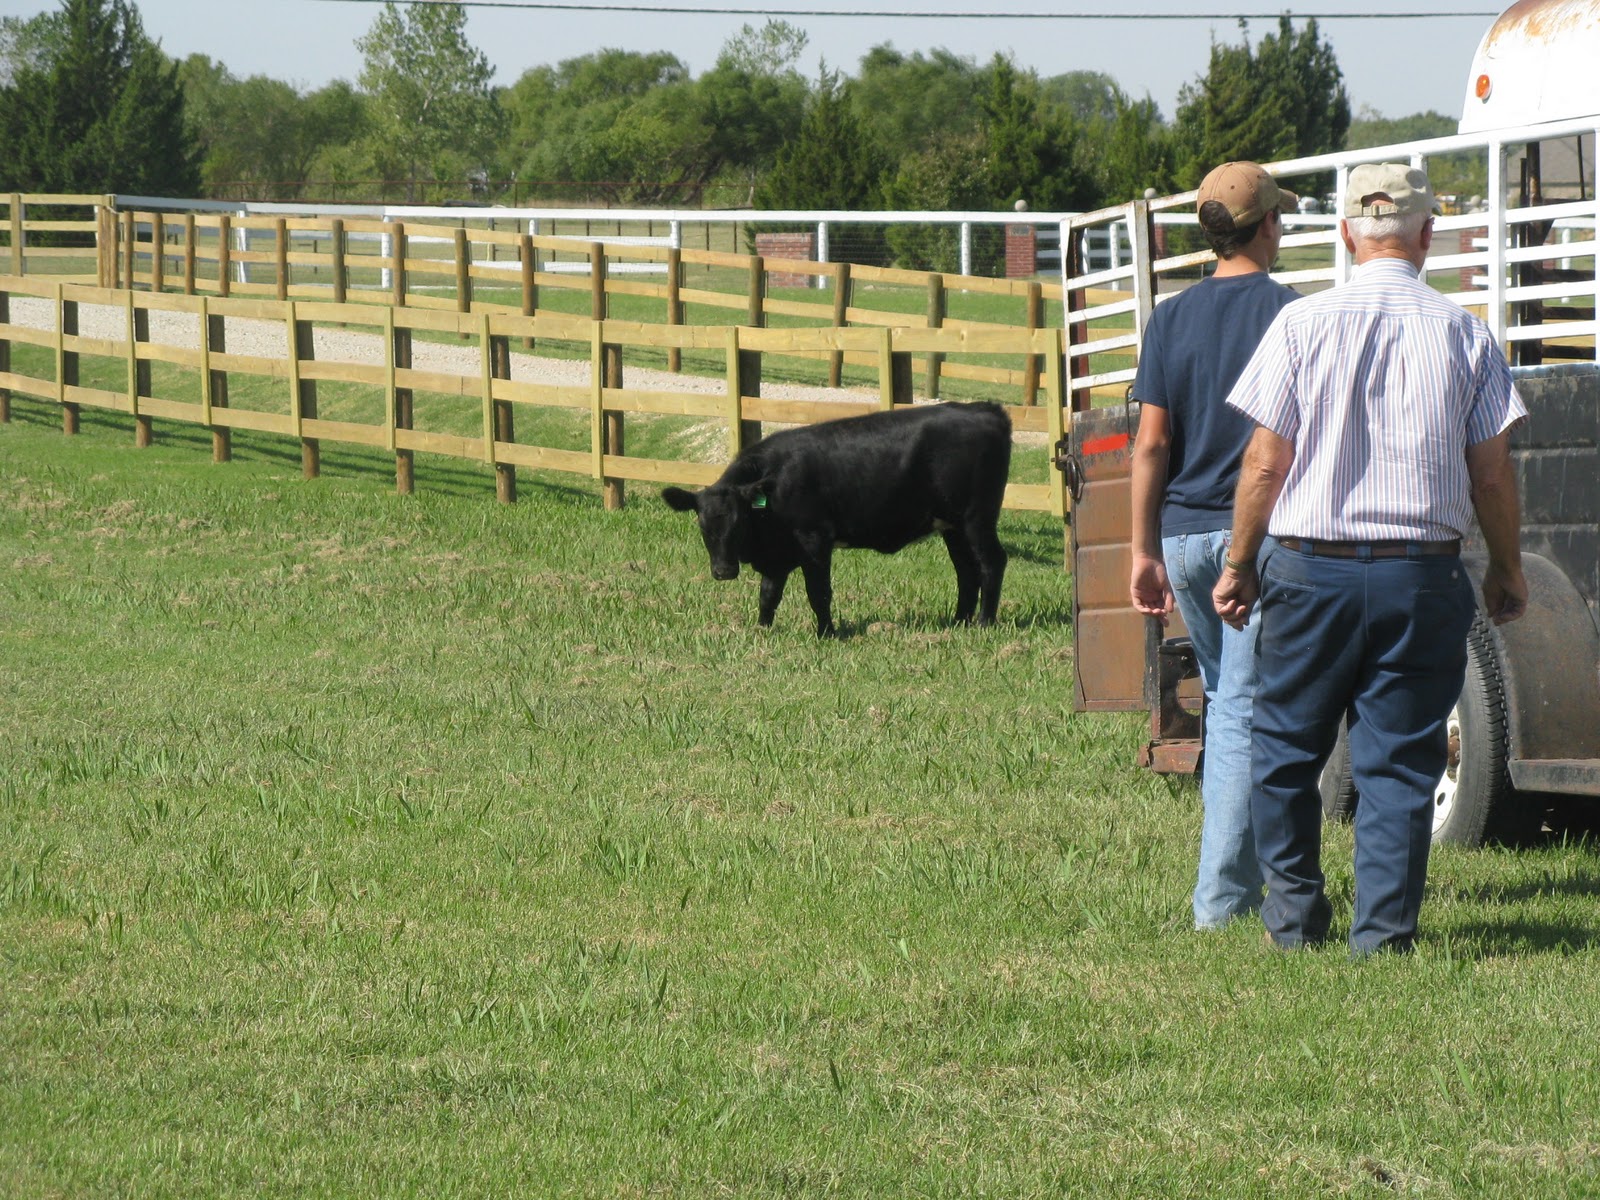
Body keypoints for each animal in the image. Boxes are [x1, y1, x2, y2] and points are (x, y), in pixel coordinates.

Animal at [662, 401, 1011, 637]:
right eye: (703, 525)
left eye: (739, 522)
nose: (723, 571)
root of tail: (984, 408)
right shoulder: (777, 555)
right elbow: (768, 595)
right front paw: (761, 630)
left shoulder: (814, 540)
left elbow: (819, 592)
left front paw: (826, 633)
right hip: (953, 526)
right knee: (966, 571)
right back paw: (959, 622)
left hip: (977, 519)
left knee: (992, 562)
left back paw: (984, 623)